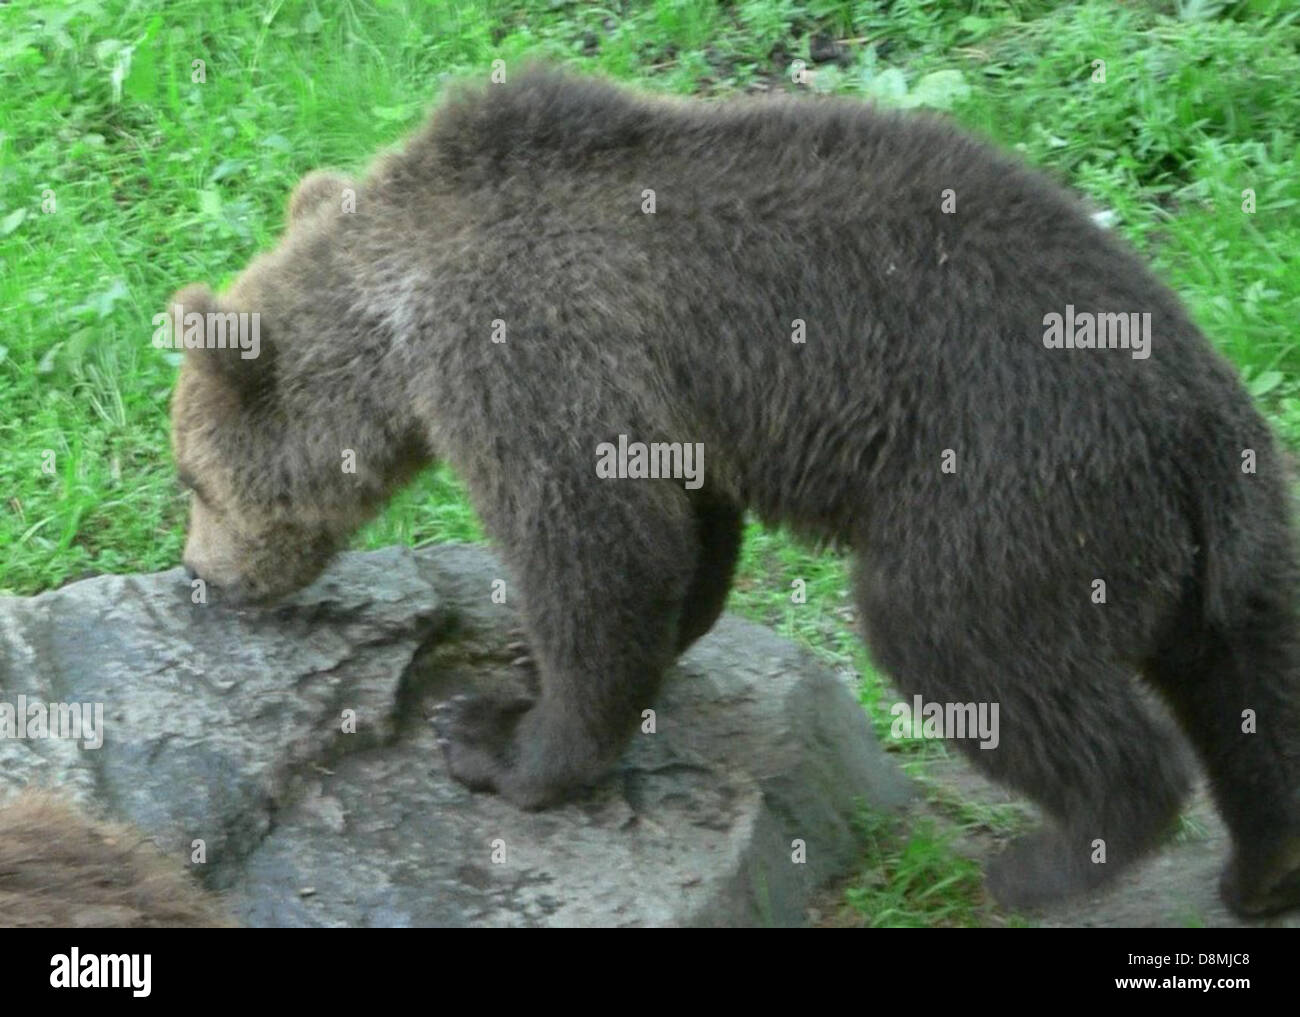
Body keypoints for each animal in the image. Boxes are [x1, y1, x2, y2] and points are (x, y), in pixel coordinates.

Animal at [167, 67, 1300, 917]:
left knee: (960, 641)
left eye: (190, 478)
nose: (202, 578)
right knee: (1245, 687)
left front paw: (499, 740)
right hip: (1207, 537)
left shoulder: (526, 344)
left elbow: (599, 549)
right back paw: (1257, 870)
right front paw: (552, 663)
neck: (398, 315)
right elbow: (684, 542)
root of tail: (1198, 421)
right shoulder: (670, 400)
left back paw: (1050, 859)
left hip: (1007, 480)